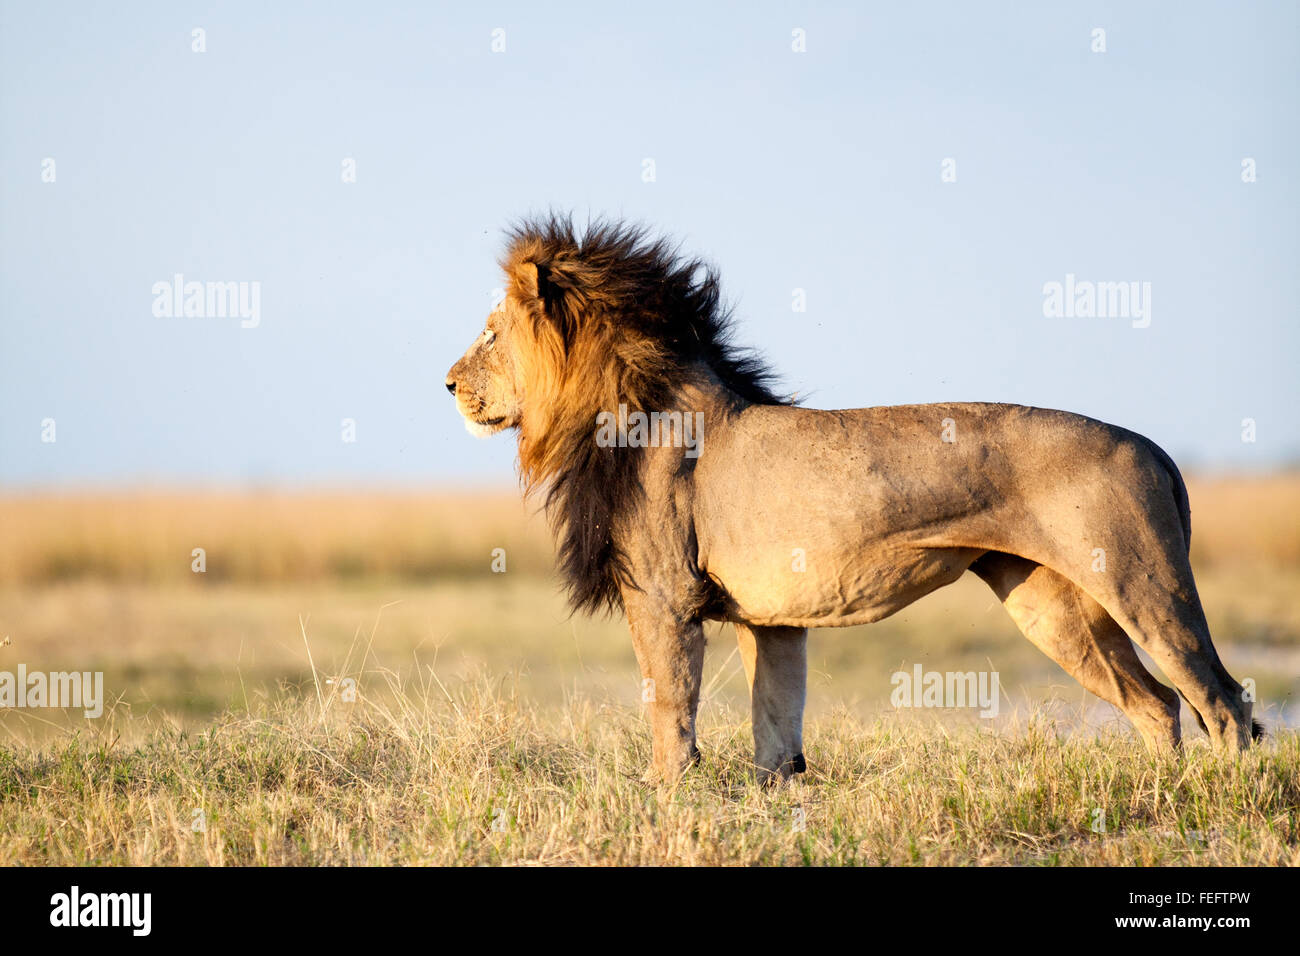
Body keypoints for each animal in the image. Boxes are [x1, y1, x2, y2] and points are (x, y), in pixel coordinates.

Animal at [445, 215, 1261, 785]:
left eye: (489, 334)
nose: (447, 383)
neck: (623, 404)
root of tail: (1154, 448)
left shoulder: (663, 597)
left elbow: (669, 713)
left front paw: (664, 799)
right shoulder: (771, 620)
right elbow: (776, 732)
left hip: (1143, 585)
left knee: (1224, 700)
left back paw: (1218, 803)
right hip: (1053, 607)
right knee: (1159, 703)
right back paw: (1157, 796)